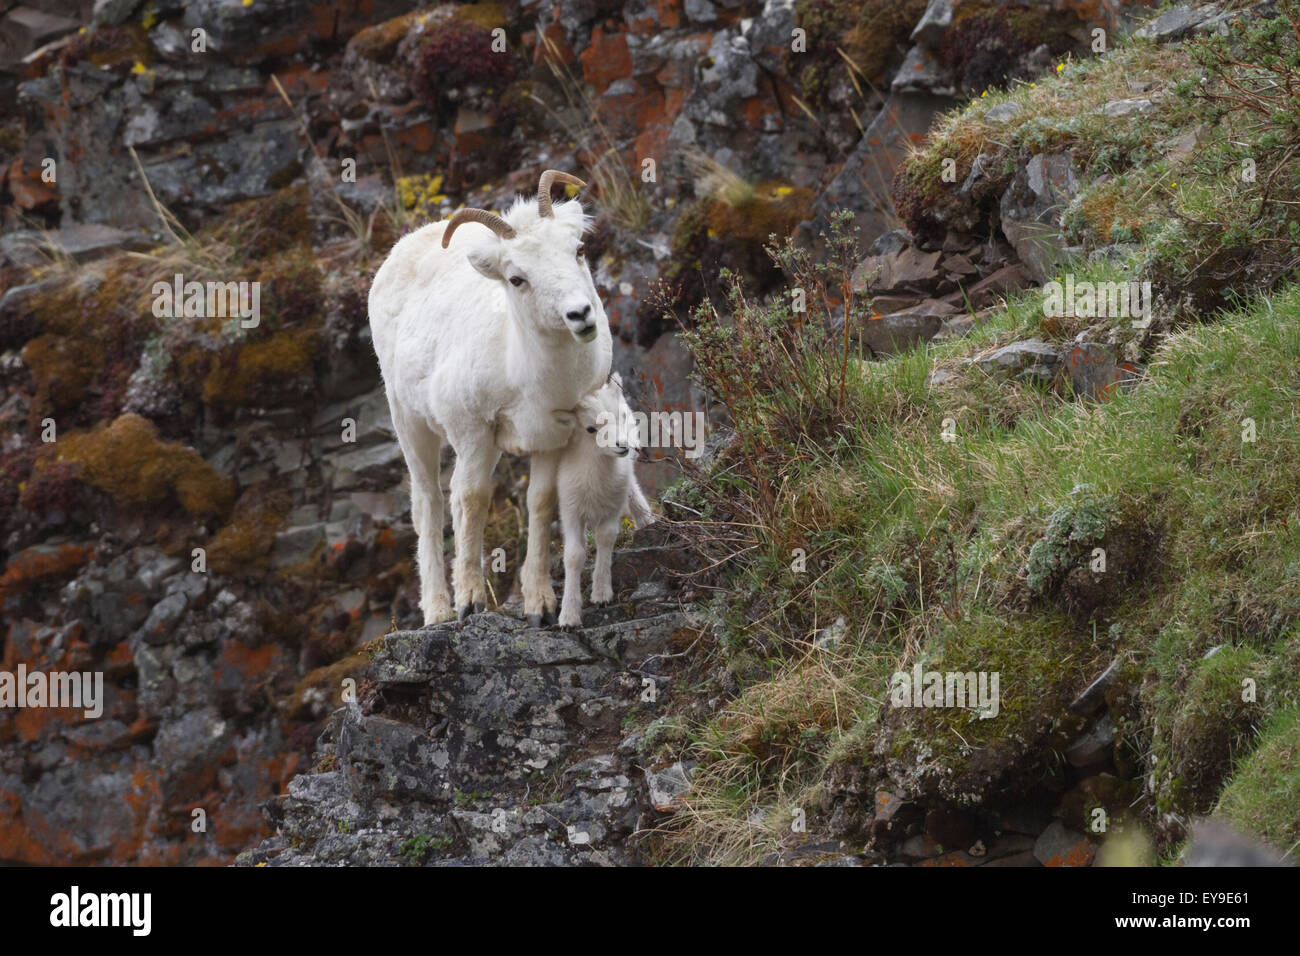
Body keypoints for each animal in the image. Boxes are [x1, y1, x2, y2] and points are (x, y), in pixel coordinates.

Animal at [367, 170, 611, 625]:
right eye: (517, 279)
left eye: (578, 250)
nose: (580, 315)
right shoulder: (472, 431)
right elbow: (475, 499)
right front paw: (470, 602)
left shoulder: (553, 437)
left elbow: (540, 504)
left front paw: (540, 605)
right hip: (410, 422)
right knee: (430, 502)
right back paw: (439, 611)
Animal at [555, 373, 655, 629]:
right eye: (591, 428)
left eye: (620, 416)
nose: (622, 445)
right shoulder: (570, 512)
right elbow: (574, 556)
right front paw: (569, 617)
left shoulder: (613, 507)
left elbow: (605, 539)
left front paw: (601, 595)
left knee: (633, 492)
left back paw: (647, 522)